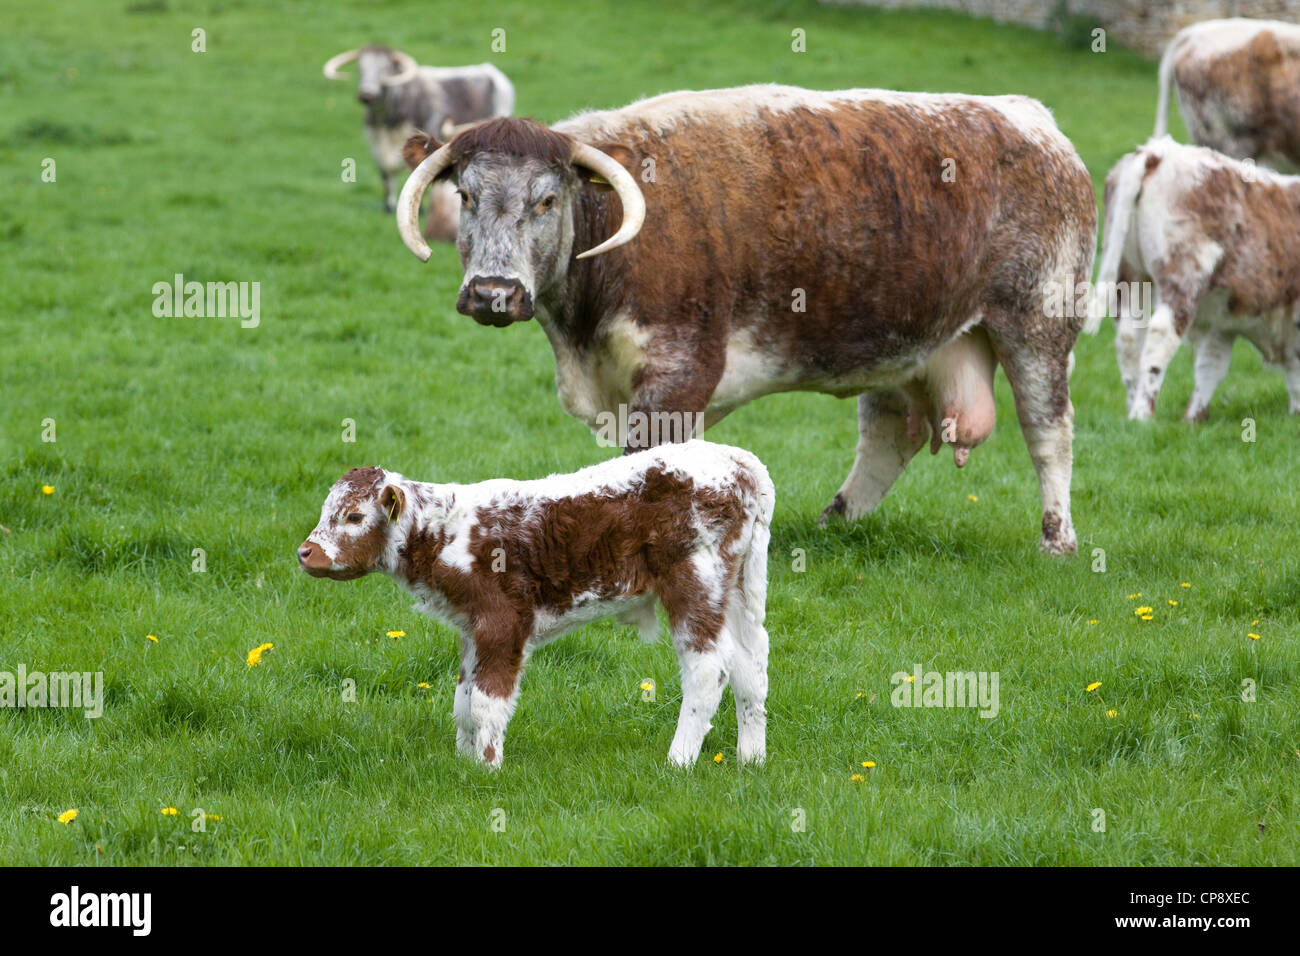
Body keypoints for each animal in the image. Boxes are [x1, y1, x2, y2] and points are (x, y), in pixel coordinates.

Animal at [297, 441, 775, 770]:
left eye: (355, 517)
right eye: (324, 511)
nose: (306, 552)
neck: (444, 532)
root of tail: (740, 461)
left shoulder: (503, 621)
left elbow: (485, 701)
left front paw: (488, 768)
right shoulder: (472, 626)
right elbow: (462, 700)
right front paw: (463, 763)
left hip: (695, 578)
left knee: (709, 669)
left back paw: (678, 761)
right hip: (735, 590)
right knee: (750, 665)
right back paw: (750, 759)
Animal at [322, 46, 514, 238]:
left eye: (386, 68)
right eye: (360, 68)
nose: (366, 94)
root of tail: (489, 69)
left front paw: (419, 211)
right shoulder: (376, 147)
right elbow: (386, 180)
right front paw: (388, 207)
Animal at [394, 86, 1097, 555]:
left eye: (545, 200)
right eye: (465, 196)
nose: (493, 294)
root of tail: (1033, 119)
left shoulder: (677, 376)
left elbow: (647, 469)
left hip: (1037, 324)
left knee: (1049, 430)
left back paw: (1058, 540)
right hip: (909, 345)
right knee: (887, 436)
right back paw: (835, 522)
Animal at [1085, 136, 1300, 422]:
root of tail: (1158, 152)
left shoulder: (1226, 321)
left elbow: (1211, 366)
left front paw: (1193, 418)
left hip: (1132, 276)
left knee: (1129, 338)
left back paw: (1132, 410)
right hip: (1182, 278)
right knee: (1159, 336)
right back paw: (1143, 414)